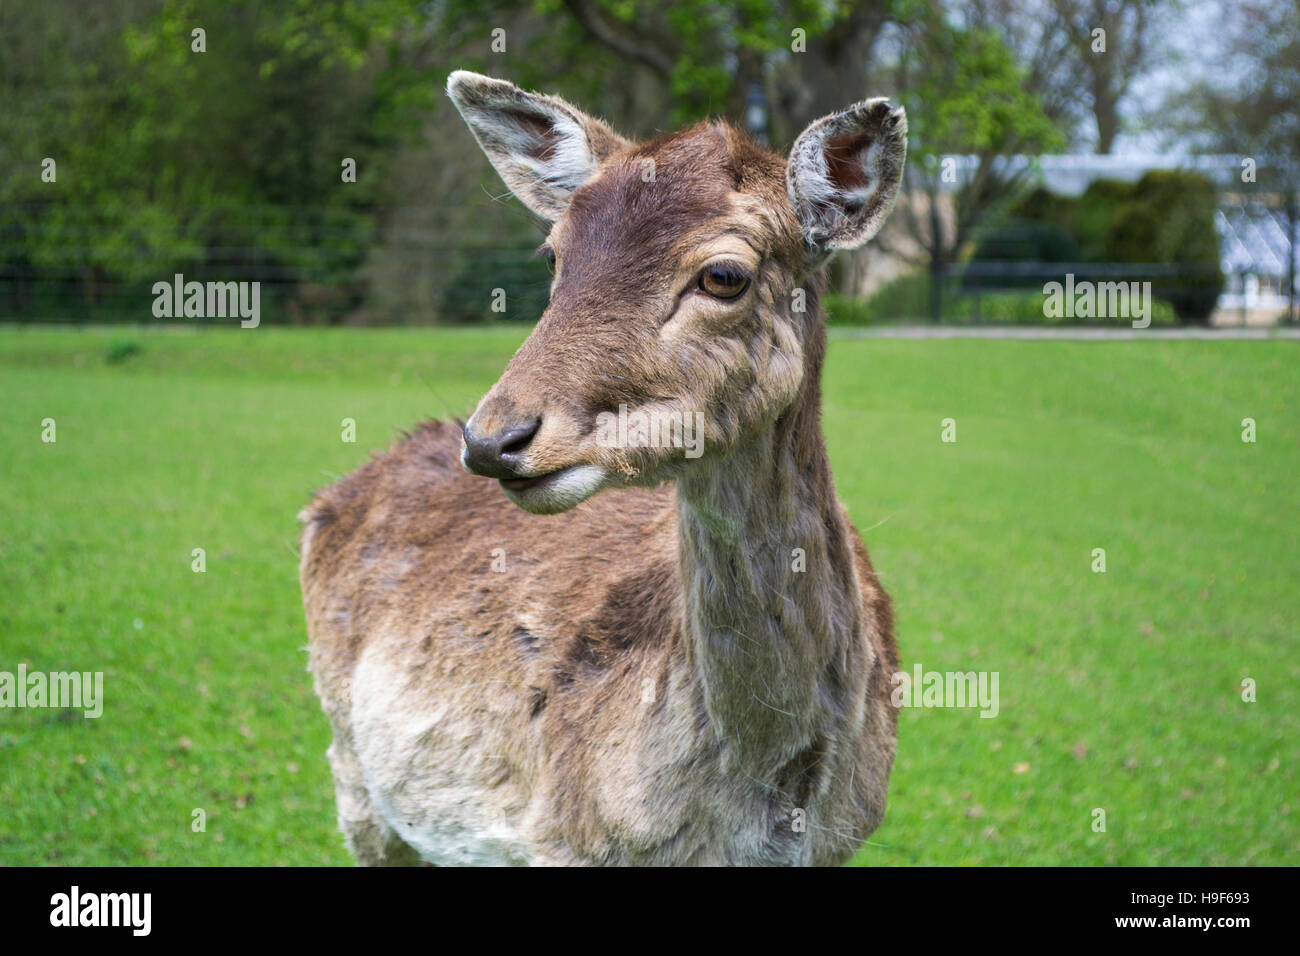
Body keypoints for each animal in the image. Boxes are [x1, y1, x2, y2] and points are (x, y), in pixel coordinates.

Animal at [299, 70, 905, 866]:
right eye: (554, 254)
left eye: (724, 275)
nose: (493, 439)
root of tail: (331, 495)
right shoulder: (562, 838)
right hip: (353, 774)